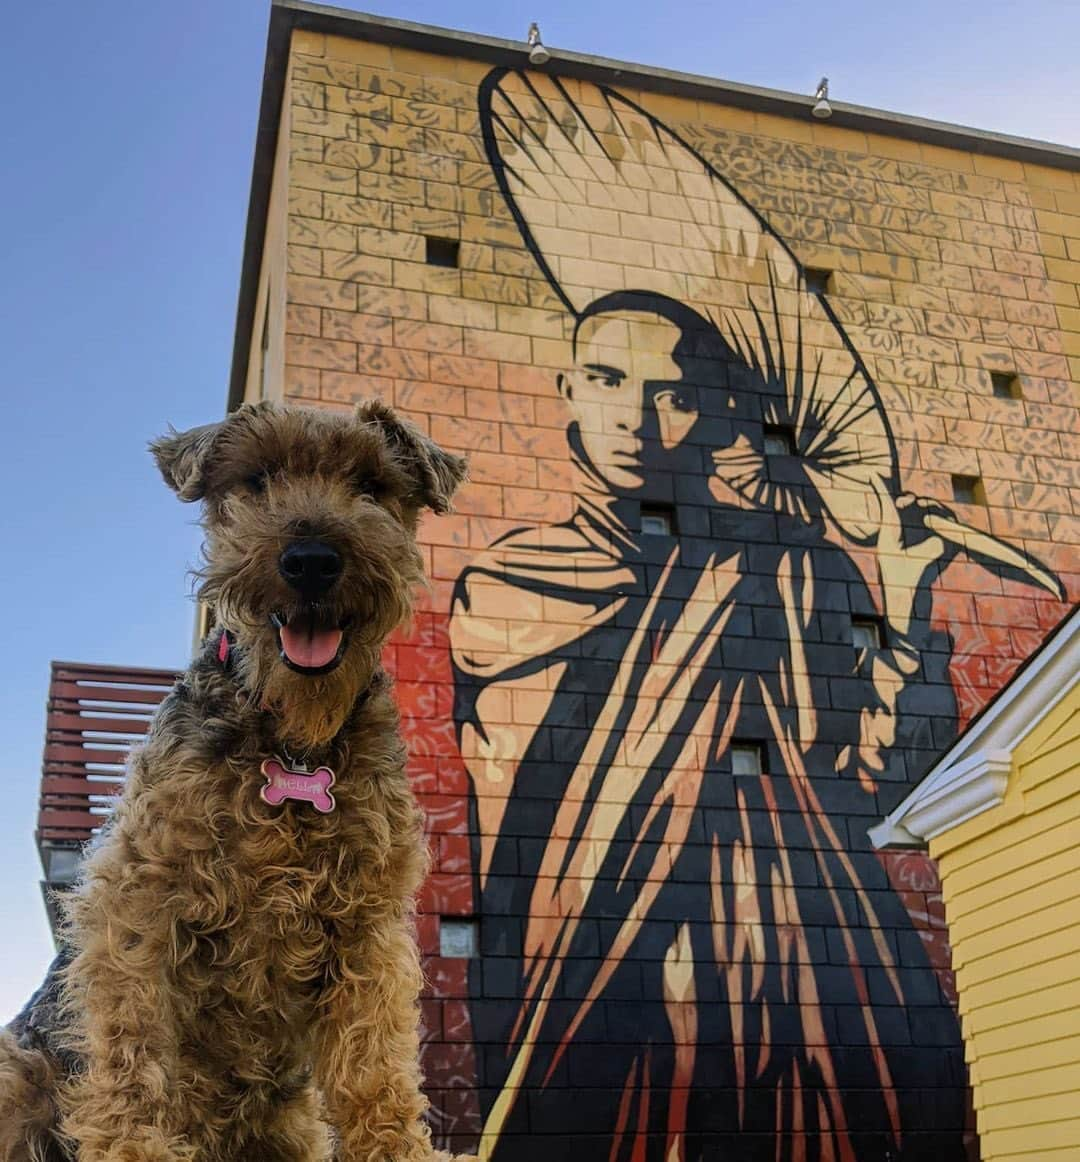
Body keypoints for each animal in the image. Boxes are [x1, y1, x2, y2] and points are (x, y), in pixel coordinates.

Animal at [2, 402, 469, 1162]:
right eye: (257, 478)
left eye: (371, 485)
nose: (311, 560)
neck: (295, 744)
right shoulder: (137, 899)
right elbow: (129, 1043)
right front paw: (136, 1147)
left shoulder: (368, 923)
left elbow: (375, 1063)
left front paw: (398, 1148)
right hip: (18, 1071)